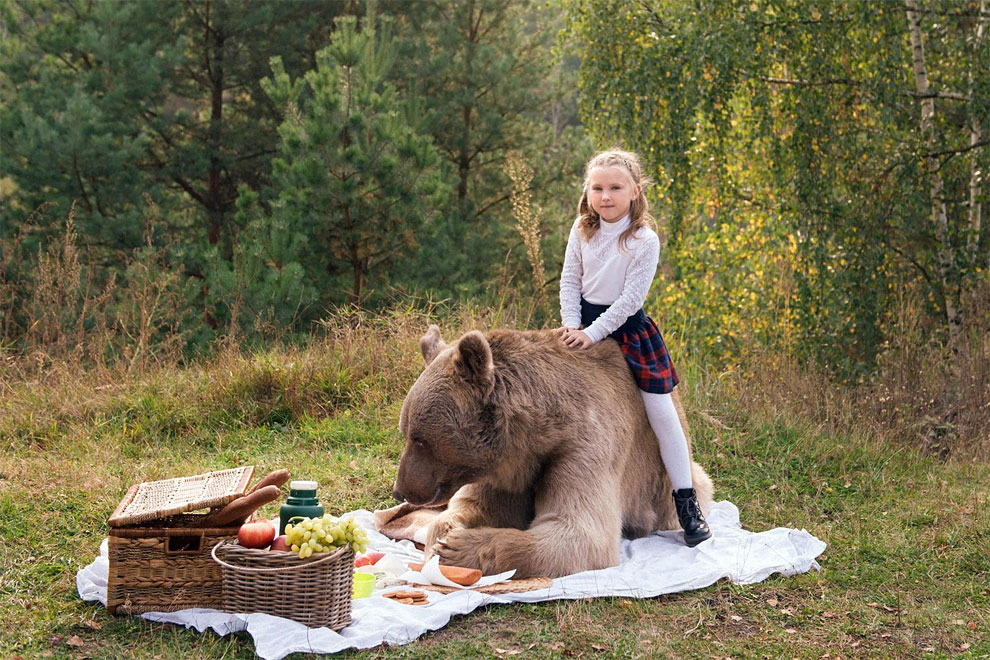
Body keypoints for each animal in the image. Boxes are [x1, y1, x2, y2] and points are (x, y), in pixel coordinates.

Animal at [392, 324, 714, 579]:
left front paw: (456, 548)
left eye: (419, 439)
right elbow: (475, 506)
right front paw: (443, 537)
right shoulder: (503, 470)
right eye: (406, 432)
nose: (400, 491)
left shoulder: (583, 445)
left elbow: (579, 532)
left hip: (662, 481)